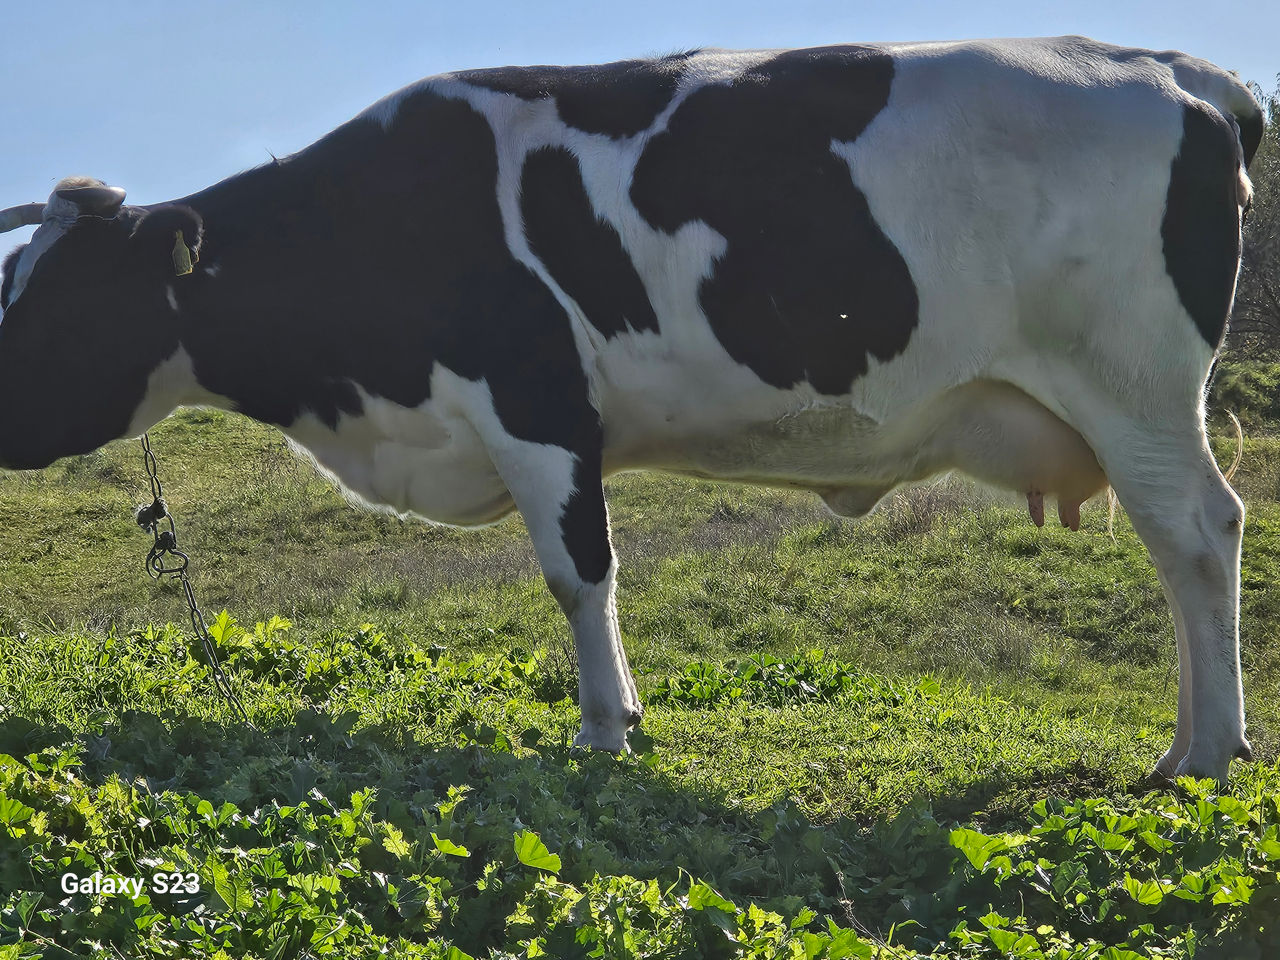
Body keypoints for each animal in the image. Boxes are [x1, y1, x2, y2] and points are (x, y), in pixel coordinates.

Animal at [0, 36, 1262, 780]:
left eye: (60, 304)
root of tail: (1169, 69)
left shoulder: (537, 404)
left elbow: (575, 575)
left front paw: (603, 730)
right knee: (1180, 546)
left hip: (1134, 385)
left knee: (1198, 536)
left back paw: (1203, 755)